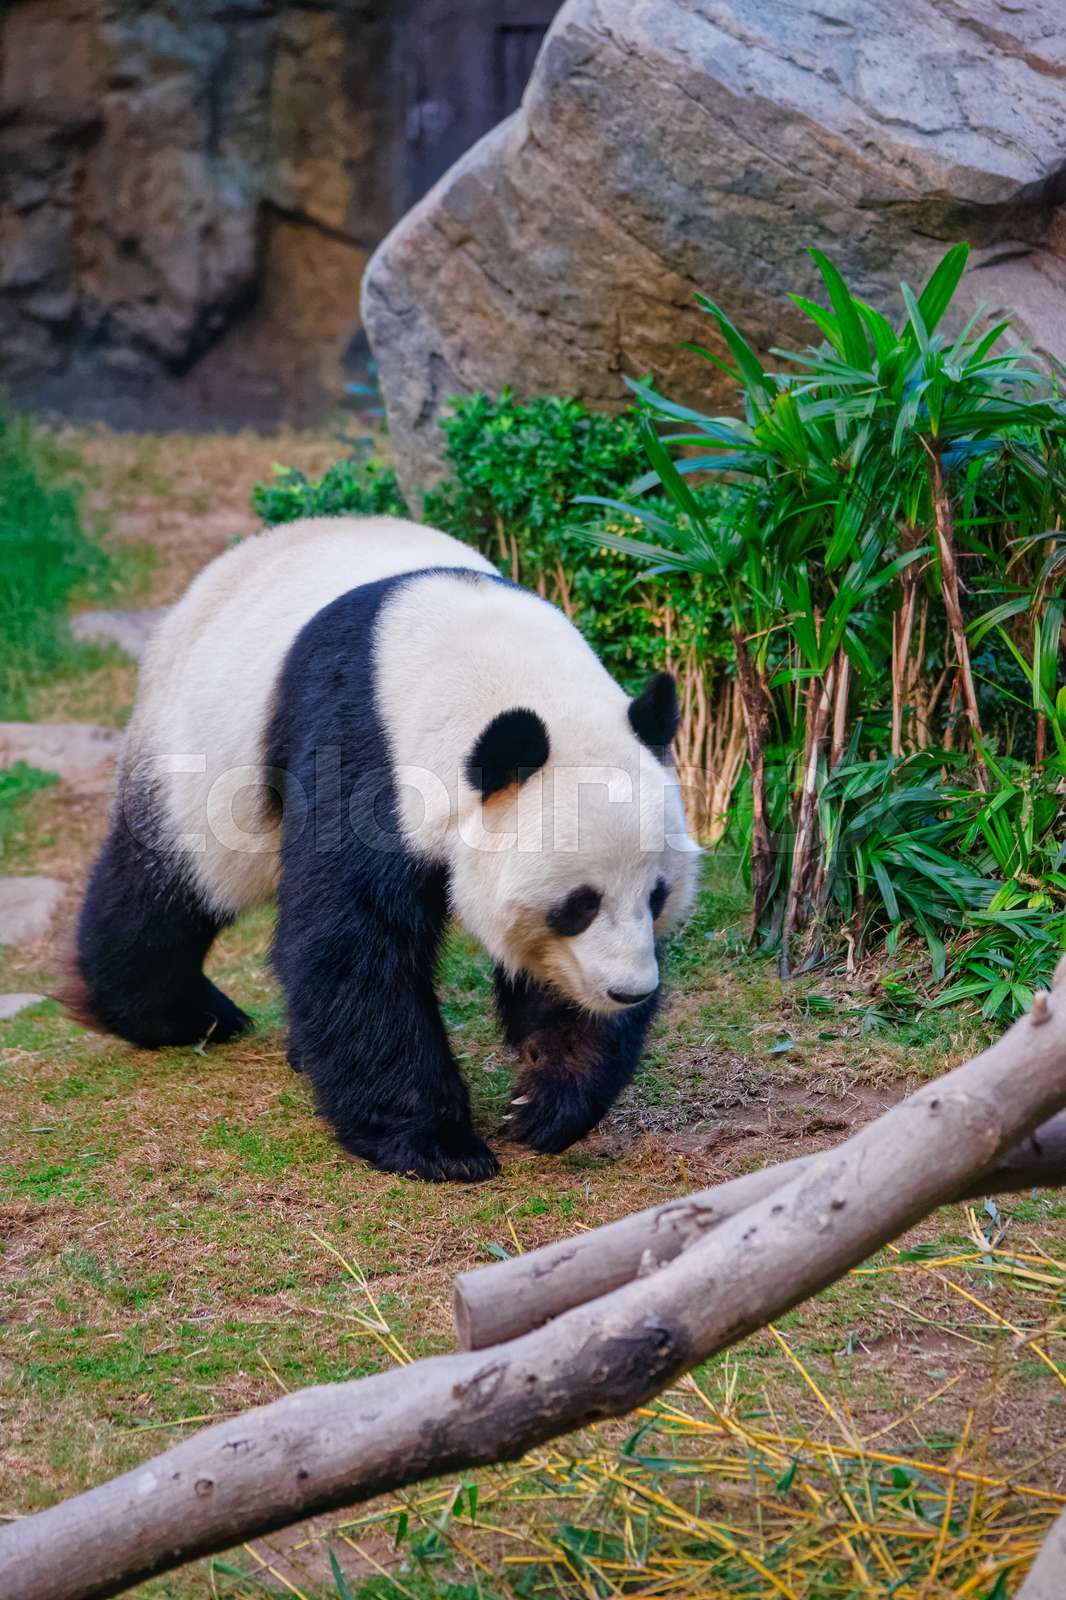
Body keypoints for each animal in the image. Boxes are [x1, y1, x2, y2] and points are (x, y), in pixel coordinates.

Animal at [70, 516, 699, 1181]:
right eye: (577, 905)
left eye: (656, 898)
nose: (629, 991)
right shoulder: (364, 748)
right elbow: (355, 940)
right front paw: (438, 1145)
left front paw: (547, 1100)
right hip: (198, 749)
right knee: (168, 884)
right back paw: (182, 1013)